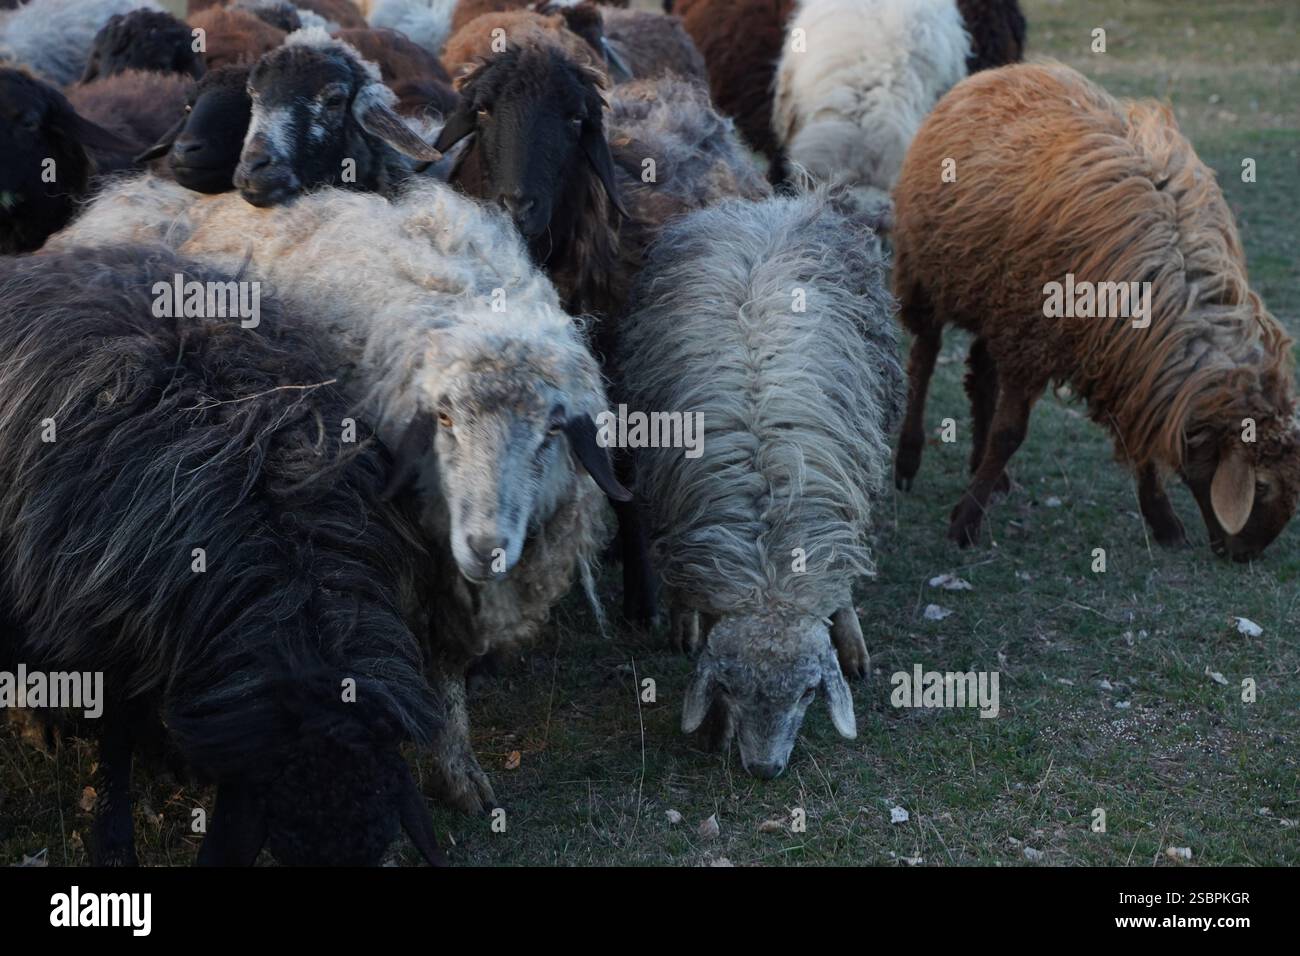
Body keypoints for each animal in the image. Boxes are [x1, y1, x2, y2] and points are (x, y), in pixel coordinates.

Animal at [54, 175, 628, 815]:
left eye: (551, 431)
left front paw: (458, 770)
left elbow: (448, 659)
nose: (486, 547)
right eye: (445, 418)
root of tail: (119, 197)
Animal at [617, 192, 904, 778]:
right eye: (729, 688)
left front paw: (850, 639)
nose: (764, 770)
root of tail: (761, 205)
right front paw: (715, 729)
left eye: (808, 693)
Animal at [891, 63, 1300, 560]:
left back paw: (986, 473)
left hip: (993, 294)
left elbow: (1135, 435)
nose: (1246, 556)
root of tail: (1006, 71)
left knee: (981, 373)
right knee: (925, 357)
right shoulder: (1035, 337)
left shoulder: (1122, 356)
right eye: (1260, 486)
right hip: (927, 273)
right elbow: (1010, 433)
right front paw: (965, 522)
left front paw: (1162, 520)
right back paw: (908, 459)